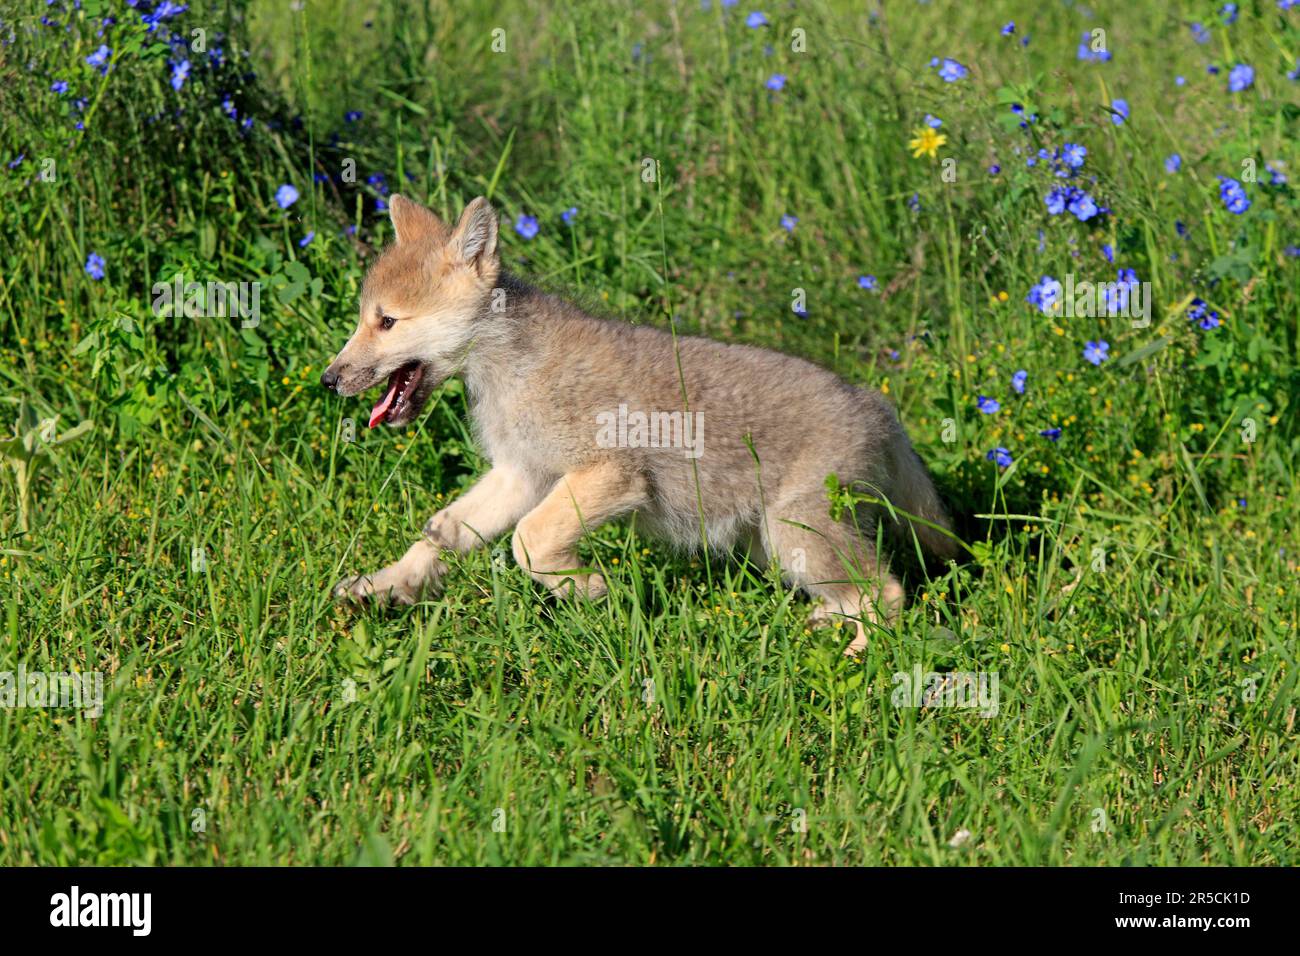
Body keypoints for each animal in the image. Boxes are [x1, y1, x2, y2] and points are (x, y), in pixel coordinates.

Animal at [321, 195, 957, 655]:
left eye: (386, 322)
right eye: (365, 318)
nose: (329, 379)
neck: (512, 364)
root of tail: (878, 409)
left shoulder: (608, 475)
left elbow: (528, 544)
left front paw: (588, 587)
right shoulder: (520, 475)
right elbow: (442, 533)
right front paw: (384, 586)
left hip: (796, 535)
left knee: (887, 591)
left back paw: (857, 659)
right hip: (776, 545)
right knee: (858, 593)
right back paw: (822, 627)